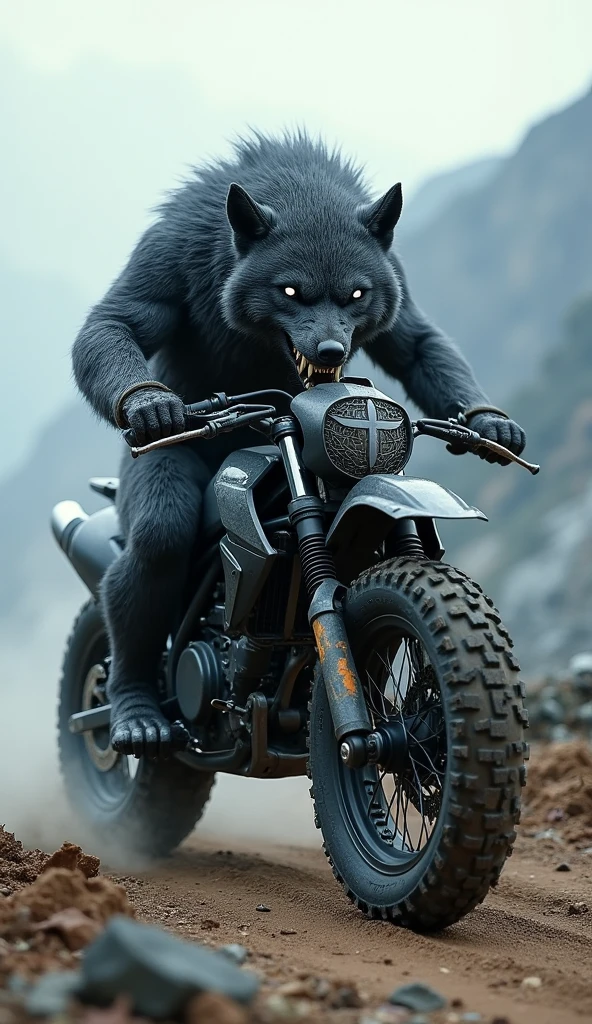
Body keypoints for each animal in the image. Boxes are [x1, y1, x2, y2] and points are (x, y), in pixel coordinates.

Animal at [72, 133, 526, 758]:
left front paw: (493, 426)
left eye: (357, 293)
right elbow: (114, 321)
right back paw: (133, 717)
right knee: (151, 554)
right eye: (290, 291)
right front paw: (150, 407)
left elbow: (415, 340)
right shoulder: (168, 249)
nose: (332, 351)